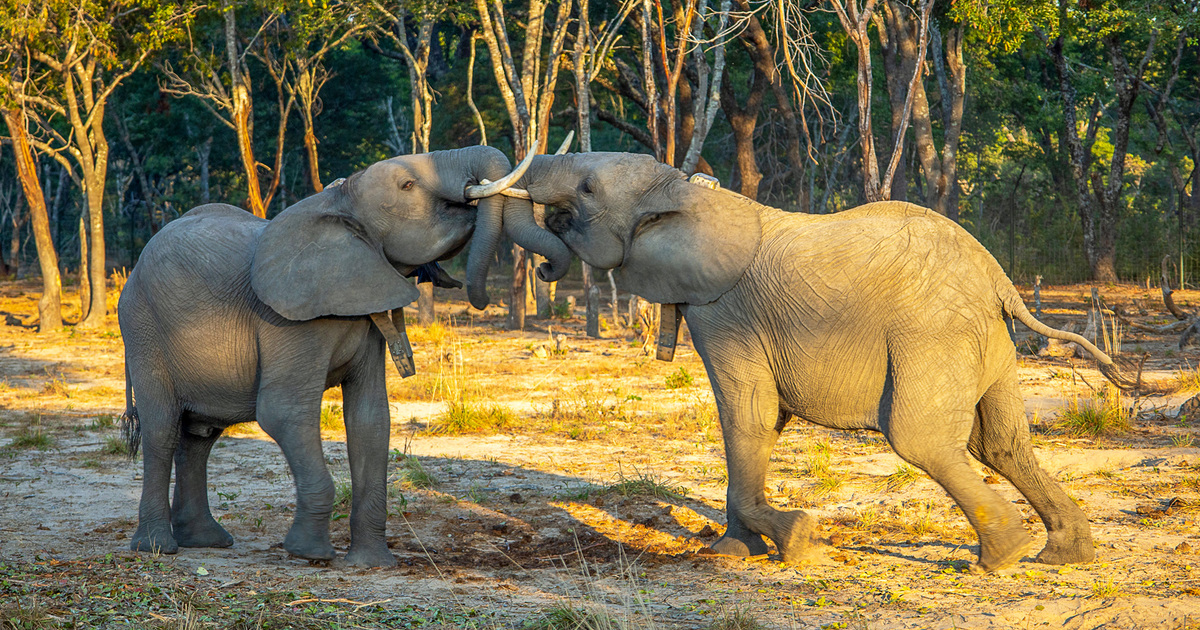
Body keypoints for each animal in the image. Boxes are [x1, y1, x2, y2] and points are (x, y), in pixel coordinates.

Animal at [118, 145, 566, 567]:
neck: (340, 201)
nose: (543, 270)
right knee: (162, 428)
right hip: (143, 329)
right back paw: (157, 548)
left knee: (199, 435)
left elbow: (370, 417)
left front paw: (373, 563)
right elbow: (284, 411)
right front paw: (310, 554)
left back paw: (206, 540)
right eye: (407, 185)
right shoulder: (289, 318)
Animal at [500, 151, 1146, 572]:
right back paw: (1065, 556)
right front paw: (732, 553)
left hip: (933, 335)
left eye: (587, 189)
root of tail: (999, 280)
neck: (685, 191)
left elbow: (746, 416)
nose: (547, 260)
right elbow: (761, 426)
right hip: (985, 342)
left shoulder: (724, 310)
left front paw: (797, 540)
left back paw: (1003, 558)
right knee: (1002, 443)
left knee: (920, 438)